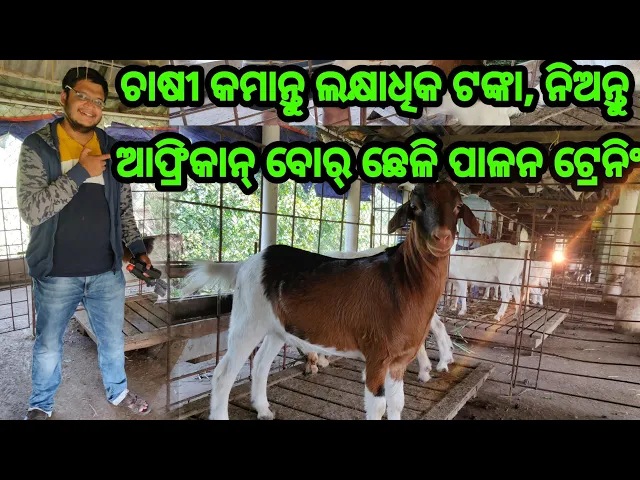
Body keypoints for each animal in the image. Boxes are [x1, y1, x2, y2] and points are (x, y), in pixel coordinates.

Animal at [181, 182, 480, 420]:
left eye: (458, 207)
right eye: (415, 207)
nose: (442, 237)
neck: (403, 281)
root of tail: (244, 264)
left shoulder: (398, 362)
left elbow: (397, 405)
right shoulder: (377, 356)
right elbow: (378, 407)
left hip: (276, 327)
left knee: (262, 364)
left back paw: (264, 409)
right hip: (247, 319)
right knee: (223, 374)